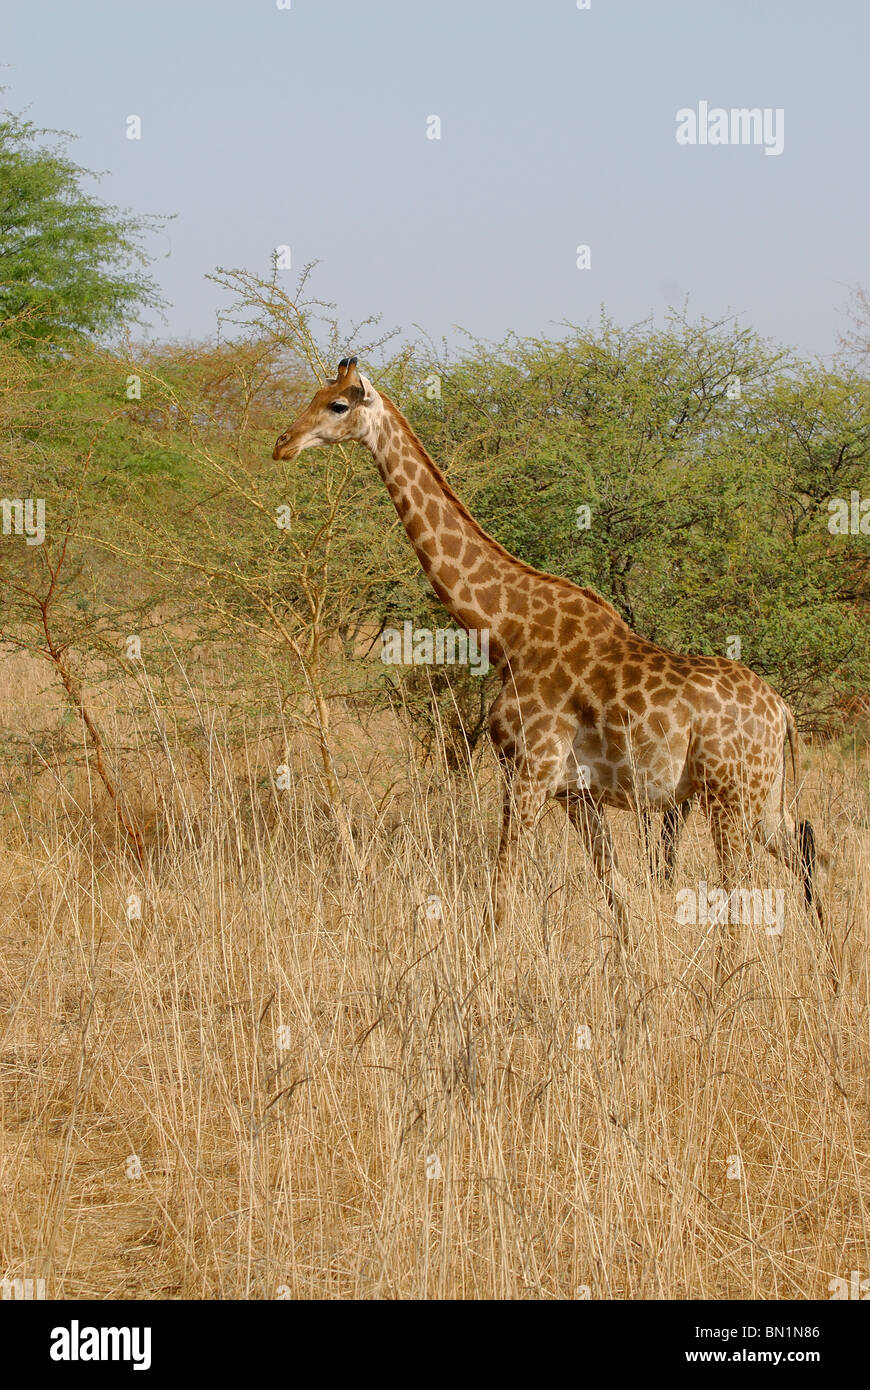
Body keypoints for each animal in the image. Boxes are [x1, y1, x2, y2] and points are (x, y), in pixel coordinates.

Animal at [273, 358, 827, 972]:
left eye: (338, 405)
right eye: (314, 395)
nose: (282, 443)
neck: (503, 629)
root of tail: (782, 711)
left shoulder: (529, 769)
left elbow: (502, 888)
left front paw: (481, 980)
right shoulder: (574, 793)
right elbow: (615, 891)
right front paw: (632, 978)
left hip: (728, 795)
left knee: (742, 887)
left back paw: (729, 980)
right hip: (761, 797)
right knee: (805, 850)